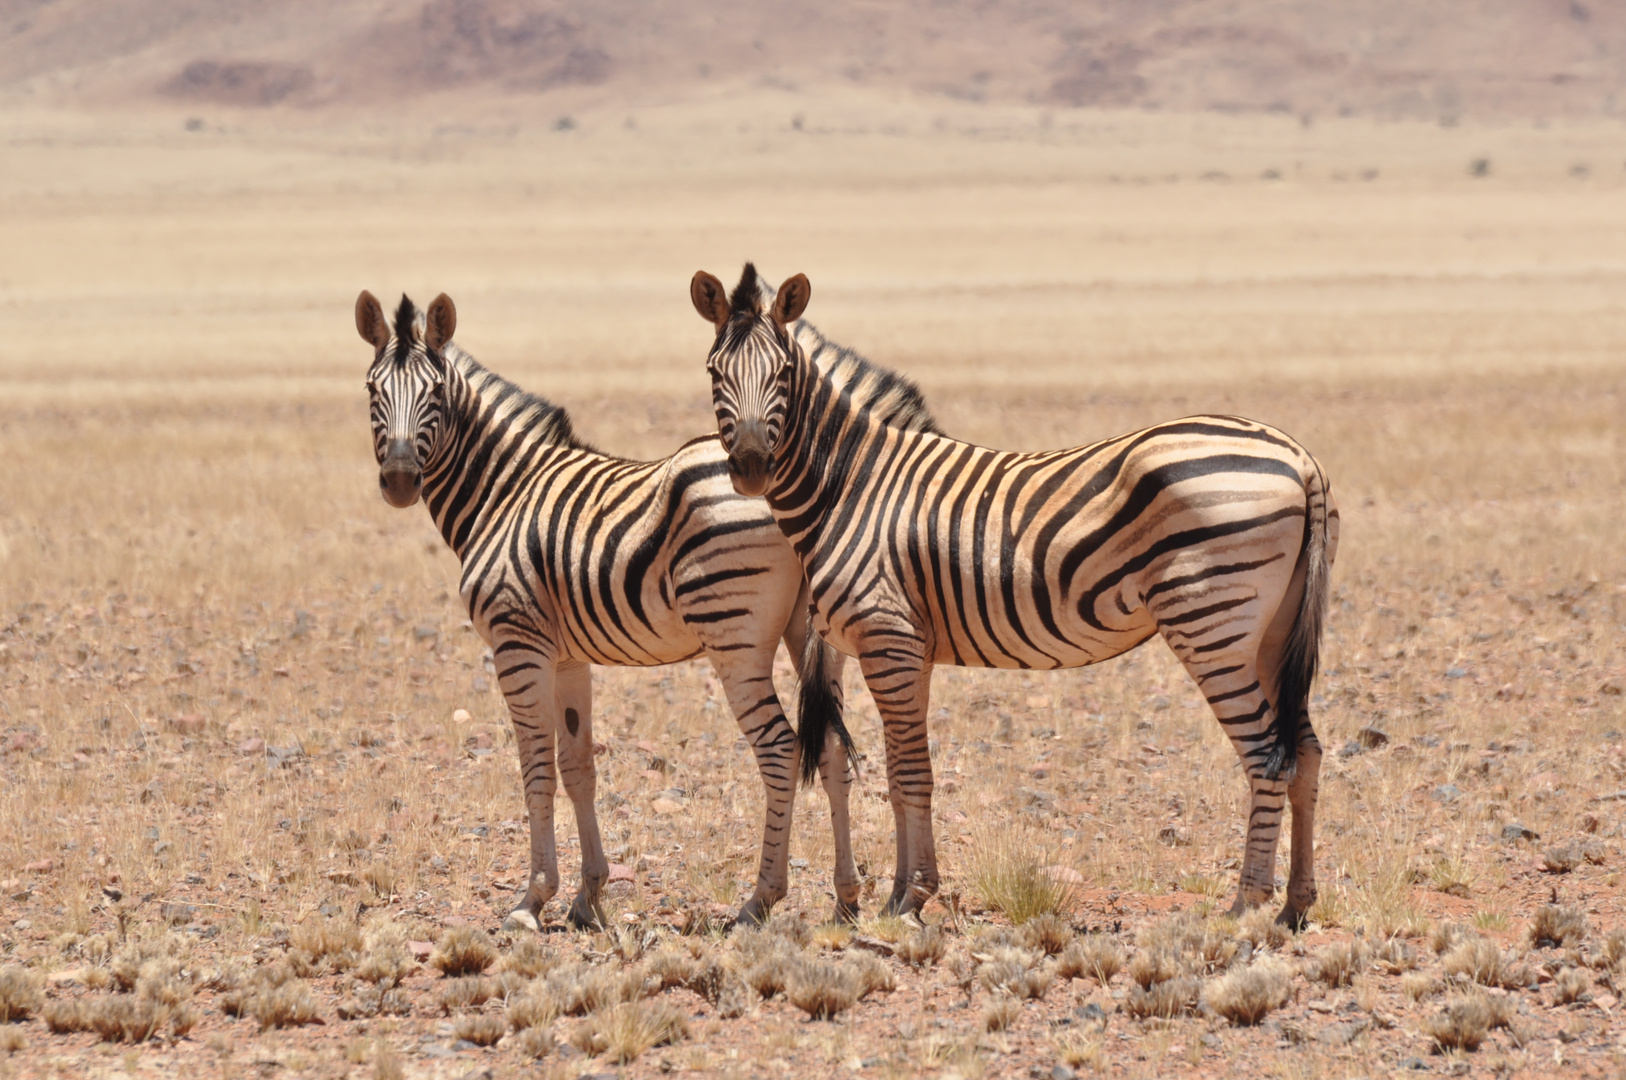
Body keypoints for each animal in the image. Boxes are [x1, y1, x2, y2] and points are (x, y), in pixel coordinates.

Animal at [355, 288, 867, 930]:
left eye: (435, 393)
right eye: (372, 390)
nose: (400, 481)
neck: (504, 492)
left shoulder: (517, 644)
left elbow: (536, 771)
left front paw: (531, 899)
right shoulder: (567, 657)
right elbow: (578, 767)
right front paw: (587, 894)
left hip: (734, 638)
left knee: (780, 749)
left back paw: (761, 899)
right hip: (812, 635)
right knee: (833, 748)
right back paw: (846, 898)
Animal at [689, 264, 1341, 927]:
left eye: (783, 374)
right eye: (715, 372)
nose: (749, 466)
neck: (851, 482)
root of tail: (1299, 457)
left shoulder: (887, 638)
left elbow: (908, 772)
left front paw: (908, 897)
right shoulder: (906, 649)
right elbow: (903, 775)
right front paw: (908, 890)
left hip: (1212, 621)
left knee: (1266, 755)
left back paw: (1246, 903)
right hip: (1272, 632)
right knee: (1306, 752)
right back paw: (1295, 904)